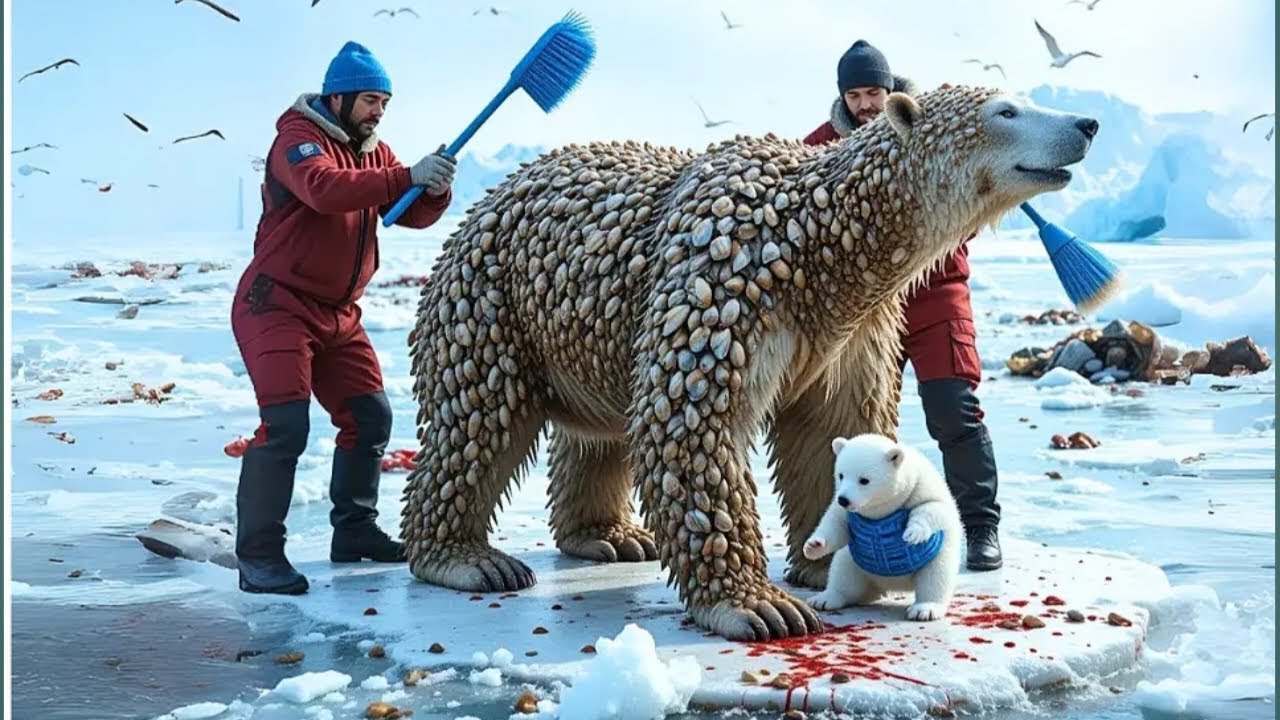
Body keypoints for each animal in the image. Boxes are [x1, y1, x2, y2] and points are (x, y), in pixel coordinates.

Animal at [802, 433, 964, 621]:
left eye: (864, 480)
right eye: (841, 475)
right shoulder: (849, 512)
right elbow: (835, 522)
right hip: (856, 561)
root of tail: (890, 584)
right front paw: (813, 546)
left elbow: (935, 507)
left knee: (936, 576)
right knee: (843, 573)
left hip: (939, 555)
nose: (844, 499)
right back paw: (824, 599)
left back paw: (925, 609)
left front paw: (913, 534)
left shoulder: (922, 487)